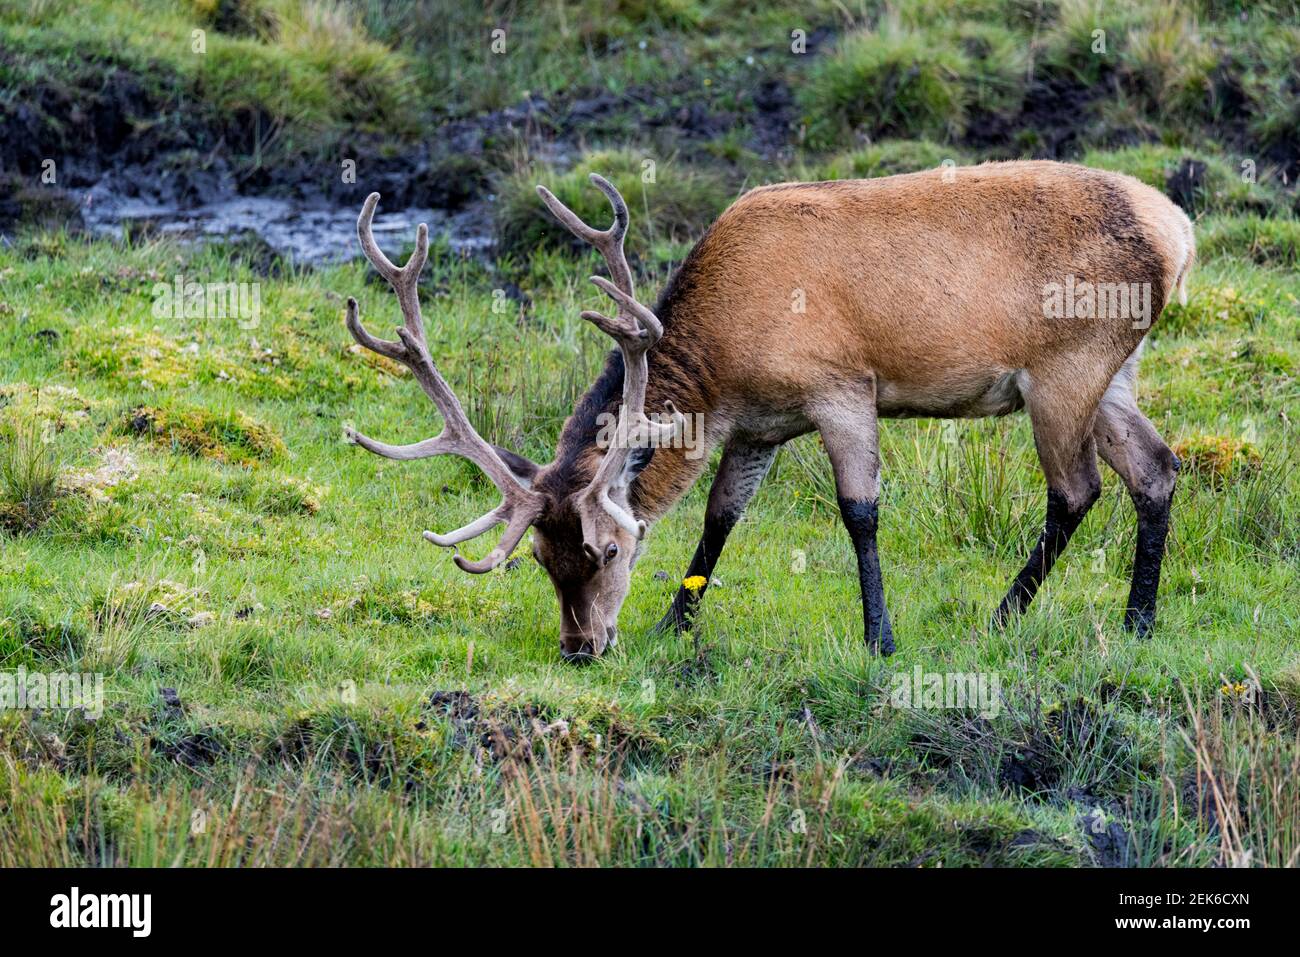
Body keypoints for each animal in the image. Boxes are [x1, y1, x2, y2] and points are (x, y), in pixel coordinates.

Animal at [343, 159, 1194, 661]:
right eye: (543, 560)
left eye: (609, 551)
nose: (580, 646)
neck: (724, 365)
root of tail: (1180, 230)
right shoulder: (760, 425)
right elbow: (721, 515)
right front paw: (675, 622)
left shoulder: (841, 387)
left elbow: (860, 510)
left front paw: (879, 637)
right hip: (1112, 373)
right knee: (1157, 467)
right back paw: (1139, 620)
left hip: (1065, 368)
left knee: (1077, 489)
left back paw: (1003, 616)